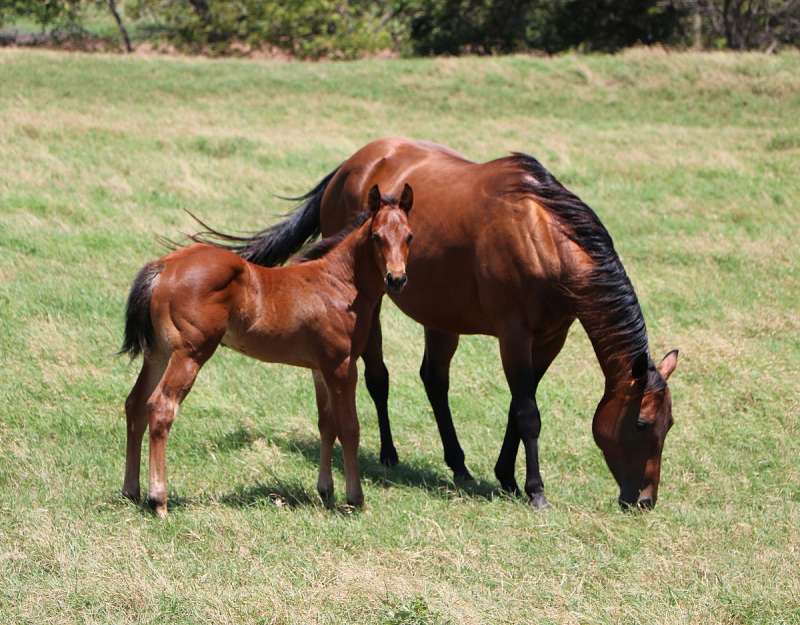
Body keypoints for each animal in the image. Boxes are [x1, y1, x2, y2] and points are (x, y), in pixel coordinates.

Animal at [120, 184, 414, 517]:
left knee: (135, 404)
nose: (397, 278)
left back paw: (131, 490)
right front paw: (355, 498)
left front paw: (326, 491)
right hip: (189, 353)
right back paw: (159, 499)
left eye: (409, 236)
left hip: (158, 353)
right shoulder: (342, 366)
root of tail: (165, 266)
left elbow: (326, 424)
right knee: (160, 407)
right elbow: (349, 428)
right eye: (377, 236)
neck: (338, 282)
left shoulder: (319, 369)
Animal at [201, 138, 679, 510]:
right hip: (374, 305)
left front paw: (505, 476)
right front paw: (534, 489)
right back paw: (390, 454)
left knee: (433, 379)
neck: (543, 235)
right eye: (641, 423)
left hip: (441, 316)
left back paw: (459, 465)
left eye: (668, 425)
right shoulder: (514, 334)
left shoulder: (550, 338)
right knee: (379, 378)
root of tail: (351, 165)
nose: (644, 500)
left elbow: (516, 405)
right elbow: (528, 411)